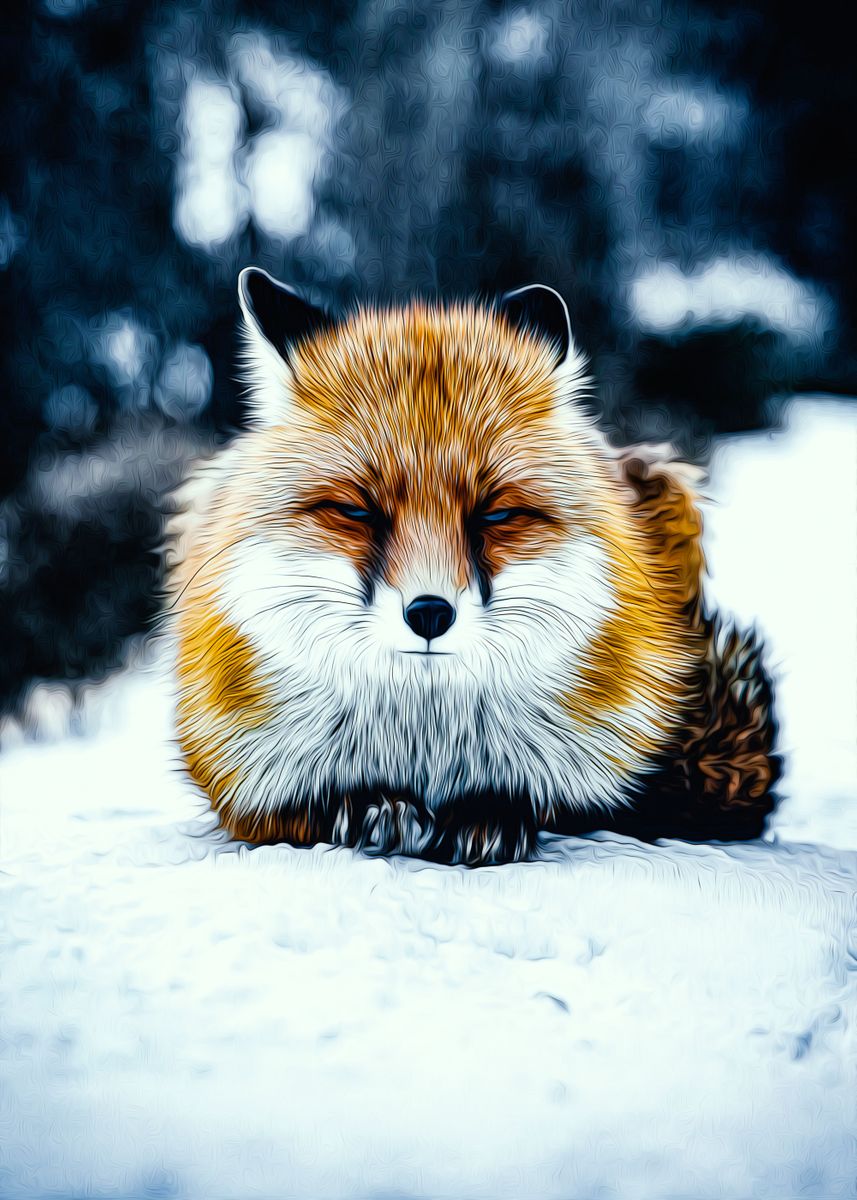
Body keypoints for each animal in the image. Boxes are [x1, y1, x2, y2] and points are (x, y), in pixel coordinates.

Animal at [166, 268, 779, 865]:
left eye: (497, 513)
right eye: (356, 511)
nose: (429, 613)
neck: (425, 747)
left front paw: (488, 814)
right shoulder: (238, 782)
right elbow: (304, 810)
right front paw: (377, 809)